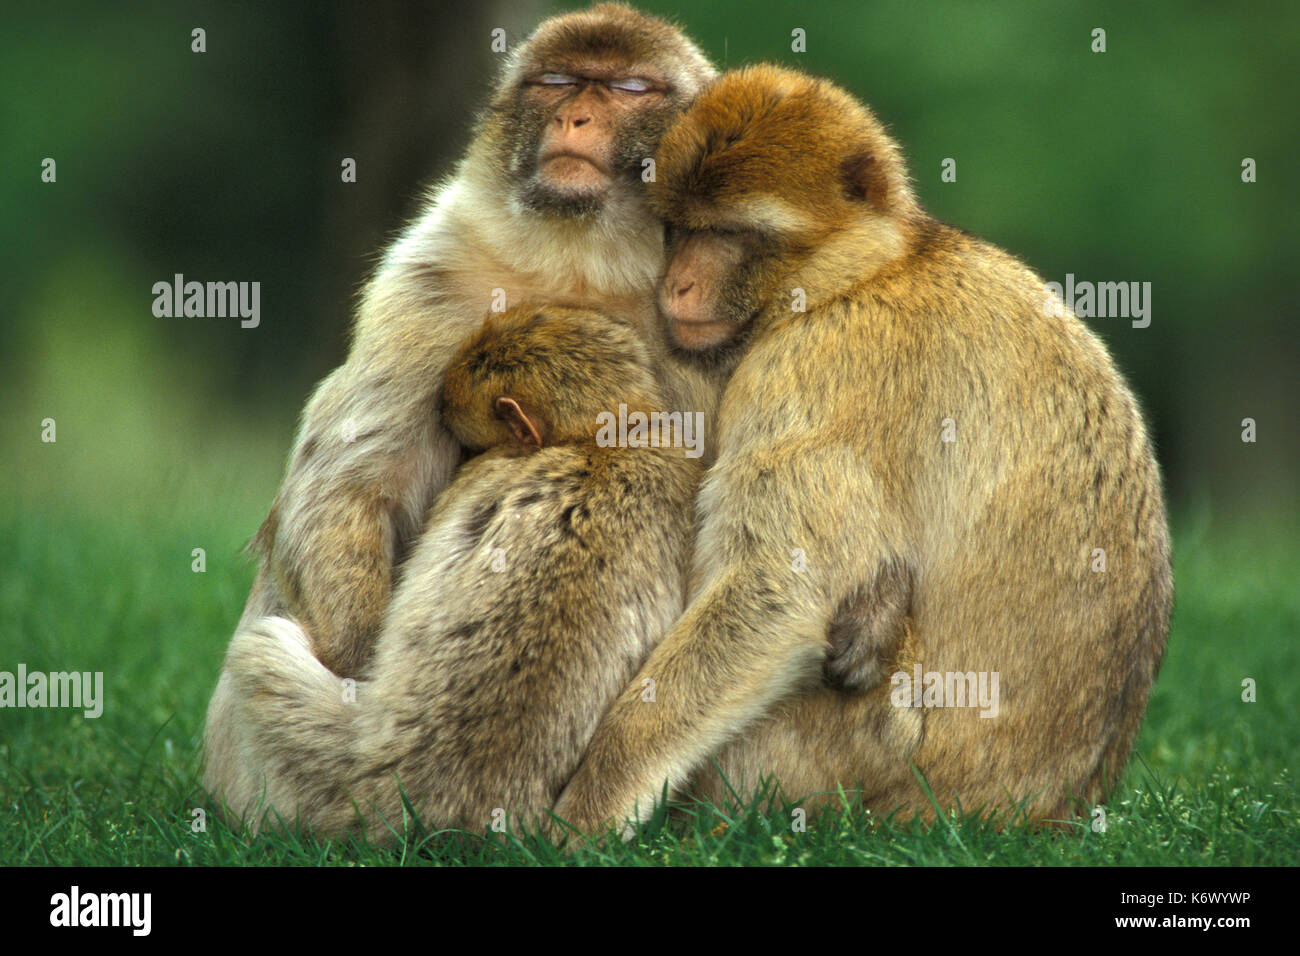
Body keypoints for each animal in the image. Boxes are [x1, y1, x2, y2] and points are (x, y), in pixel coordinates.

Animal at [551, 64, 1173, 836]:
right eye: (678, 230)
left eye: (725, 233)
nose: (678, 284)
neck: (868, 271)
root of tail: (1047, 811)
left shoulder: (814, 367)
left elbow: (778, 587)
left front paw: (591, 801)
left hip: (846, 759)